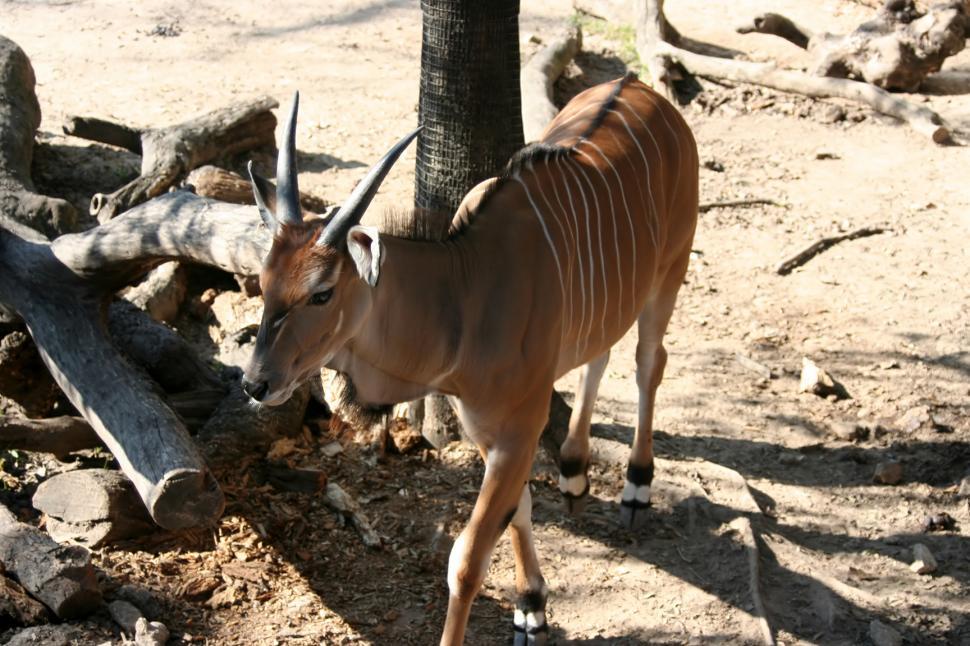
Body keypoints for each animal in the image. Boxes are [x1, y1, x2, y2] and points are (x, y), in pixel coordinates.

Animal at [242, 72, 698, 645]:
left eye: (321, 292)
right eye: (263, 282)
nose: (255, 382)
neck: (466, 291)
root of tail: (634, 82)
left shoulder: (520, 426)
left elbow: (466, 560)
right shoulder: (484, 425)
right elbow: (519, 507)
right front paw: (531, 608)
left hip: (671, 269)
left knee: (647, 360)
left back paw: (636, 485)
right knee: (603, 353)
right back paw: (573, 471)